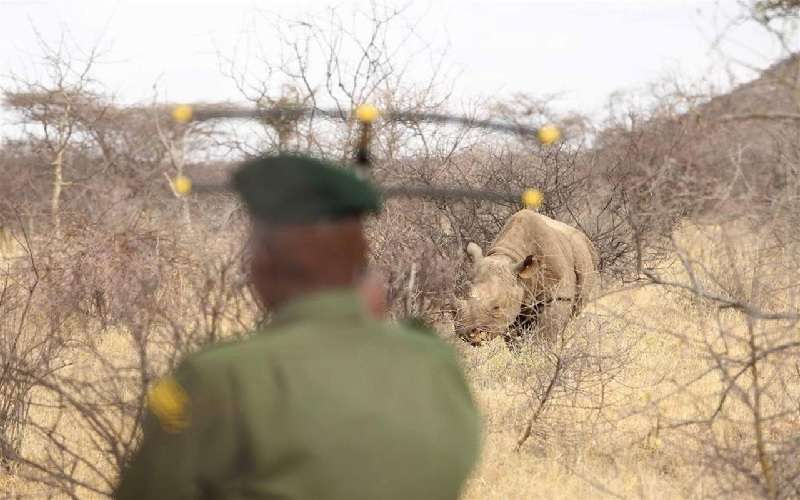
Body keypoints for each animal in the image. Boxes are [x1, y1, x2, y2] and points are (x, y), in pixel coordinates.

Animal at [455, 209, 598, 347]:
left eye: (497, 307)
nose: (468, 334)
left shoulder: (559, 296)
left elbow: (546, 334)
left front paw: (538, 352)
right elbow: (514, 340)